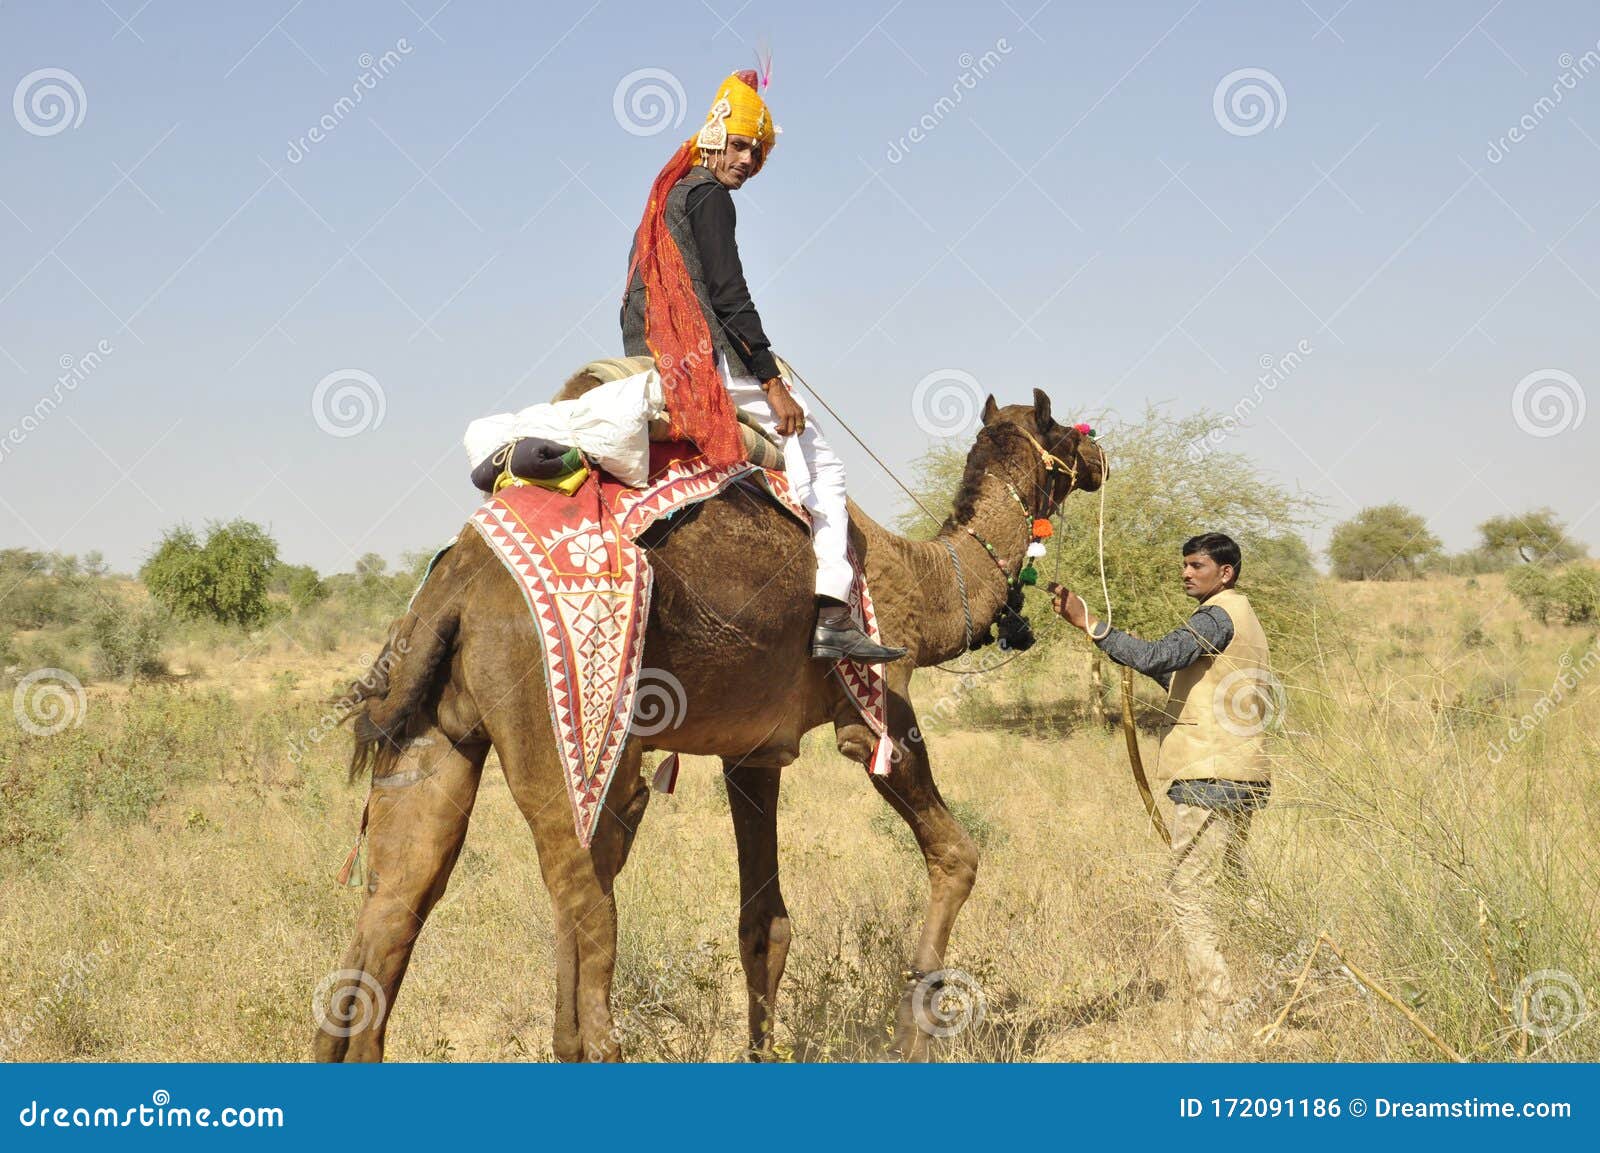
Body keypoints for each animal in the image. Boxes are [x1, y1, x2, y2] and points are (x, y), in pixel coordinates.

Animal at [313, 386, 1104, 1062]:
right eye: (1068, 429)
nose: (1100, 457)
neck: (924, 580)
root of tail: (453, 590)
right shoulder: (877, 703)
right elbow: (956, 854)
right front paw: (918, 1032)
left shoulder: (753, 750)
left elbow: (765, 922)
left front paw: (765, 1051)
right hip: (560, 715)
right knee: (581, 890)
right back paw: (598, 1046)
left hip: (437, 730)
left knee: (397, 899)